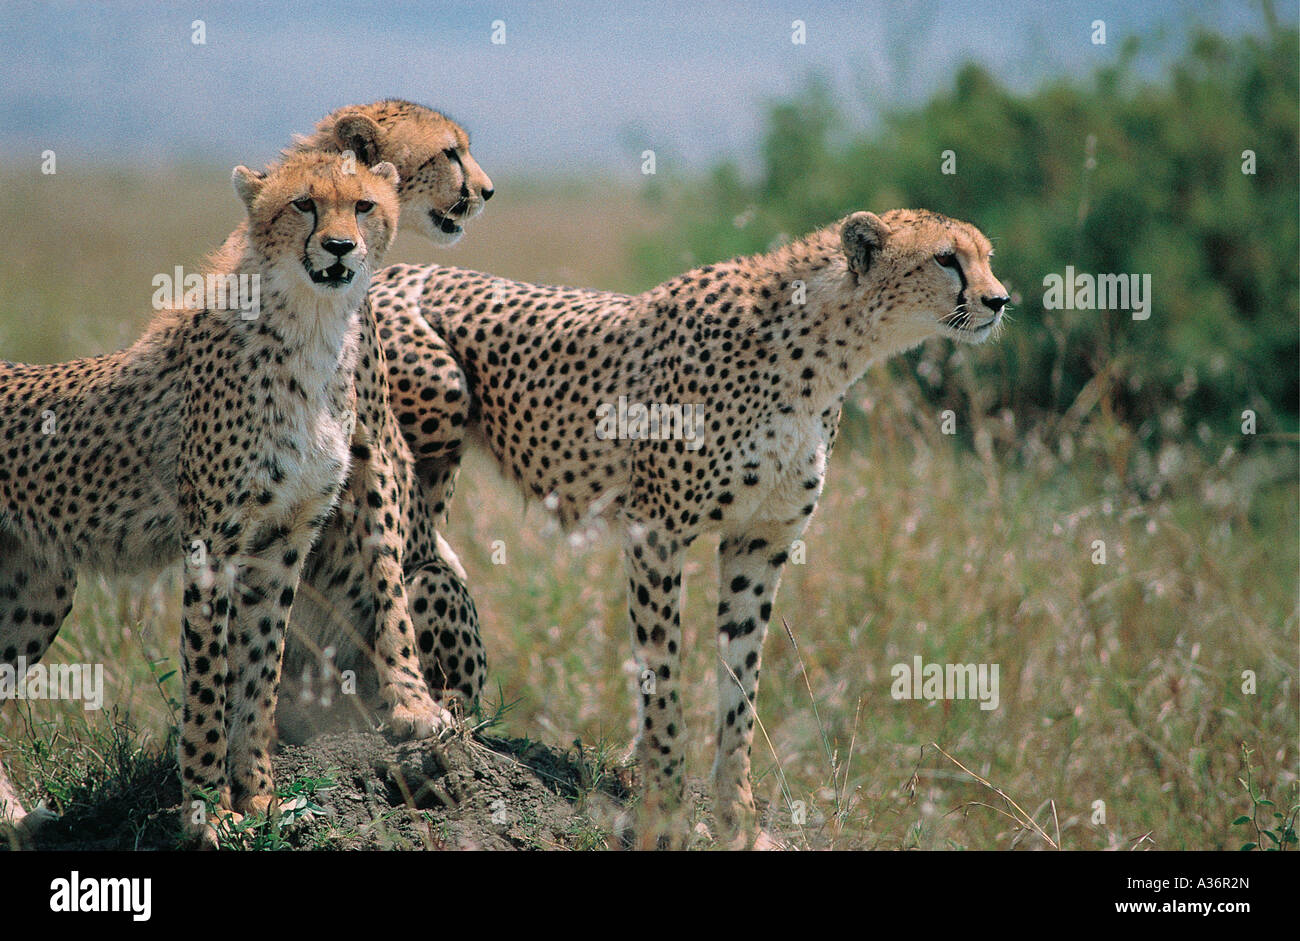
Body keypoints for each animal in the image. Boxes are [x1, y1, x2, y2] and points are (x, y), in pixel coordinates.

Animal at [0, 151, 403, 842]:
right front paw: (208, 811)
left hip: (36, 590)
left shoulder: (283, 544)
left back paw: (13, 818)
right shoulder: (212, 544)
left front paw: (260, 798)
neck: (312, 329)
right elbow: (211, 682)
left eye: (364, 205)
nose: (340, 246)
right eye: (304, 204)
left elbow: (261, 671)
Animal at [366, 208, 1009, 848]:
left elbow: (741, 686)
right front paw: (665, 808)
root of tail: (393, 269)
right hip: (442, 398)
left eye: (986, 257)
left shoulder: (760, 543)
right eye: (946, 258)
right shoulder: (656, 531)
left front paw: (738, 817)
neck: (824, 352)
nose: (1000, 300)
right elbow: (664, 676)